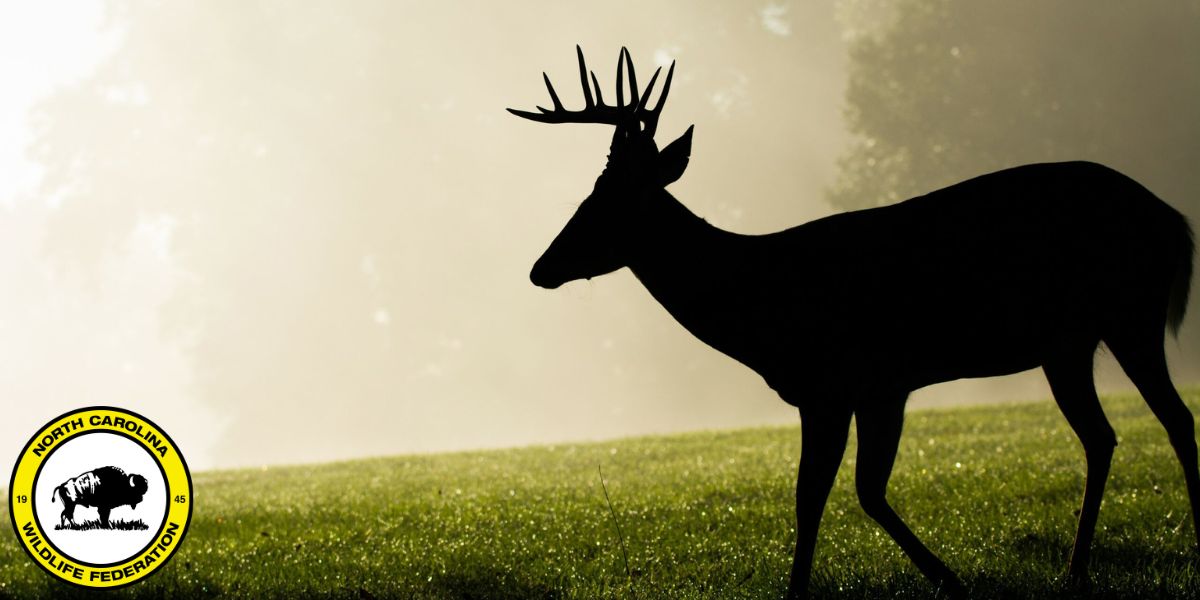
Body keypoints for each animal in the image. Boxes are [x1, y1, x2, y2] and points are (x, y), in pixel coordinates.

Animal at [509, 46, 1197, 598]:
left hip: (1130, 313)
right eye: (589, 194)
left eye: (609, 202)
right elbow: (825, 494)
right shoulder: (848, 391)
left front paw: (949, 581)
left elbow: (840, 492)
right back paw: (1076, 571)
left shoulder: (857, 381)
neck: (758, 305)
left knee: (1174, 418)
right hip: (1069, 343)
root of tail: (1173, 219)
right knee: (1102, 437)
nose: (540, 268)